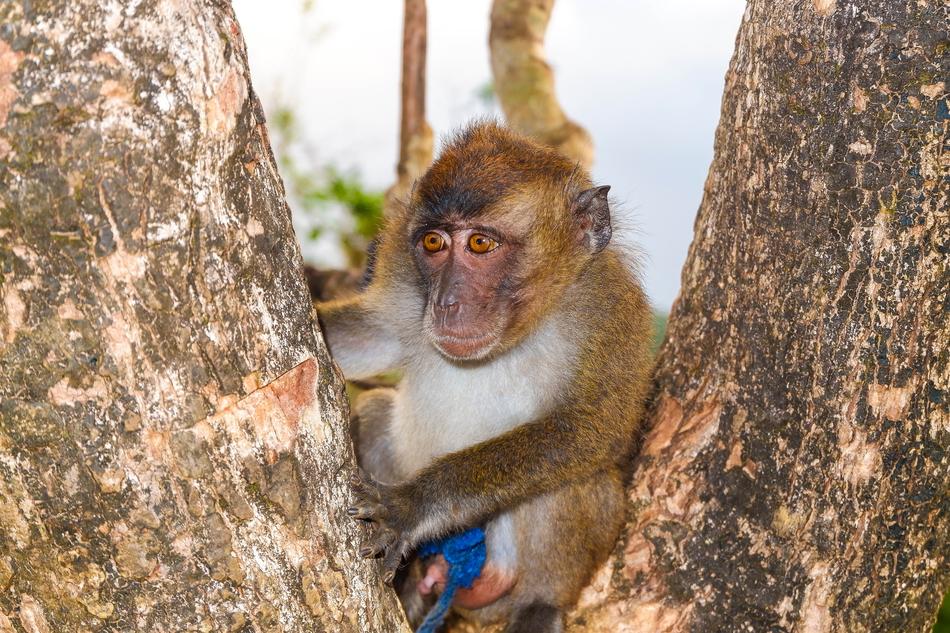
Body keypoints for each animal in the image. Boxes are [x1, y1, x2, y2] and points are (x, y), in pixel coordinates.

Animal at [317, 121, 653, 633]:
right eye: (433, 243)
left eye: (480, 244)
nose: (446, 303)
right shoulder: (404, 278)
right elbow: (372, 338)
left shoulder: (611, 311)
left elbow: (590, 429)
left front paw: (415, 503)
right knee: (375, 411)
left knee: (572, 477)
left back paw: (540, 604)